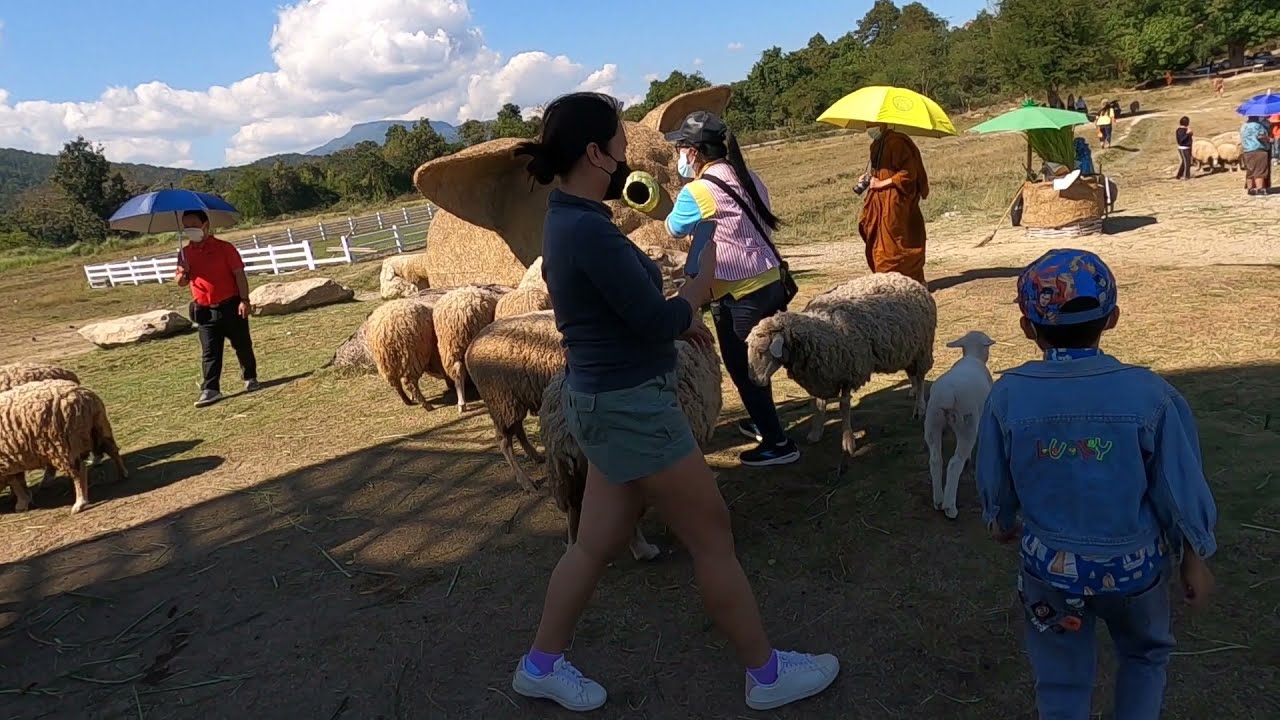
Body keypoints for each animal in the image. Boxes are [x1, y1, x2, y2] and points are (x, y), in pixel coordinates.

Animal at [1, 379, 127, 514]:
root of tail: (84, 396)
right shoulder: (12, 459)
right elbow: (18, 481)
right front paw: (24, 499)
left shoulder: (6, 462)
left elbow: (15, 483)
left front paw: (21, 503)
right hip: (100, 427)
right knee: (113, 450)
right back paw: (122, 474)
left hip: (64, 446)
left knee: (79, 472)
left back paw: (79, 503)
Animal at [464, 310, 565, 491]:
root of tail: (470, 347)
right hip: (501, 400)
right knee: (504, 441)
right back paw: (526, 482)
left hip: (515, 400)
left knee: (518, 428)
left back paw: (536, 456)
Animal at [745, 271, 937, 461]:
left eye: (762, 351)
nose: (754, 380)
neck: (822, 330)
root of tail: (906, 278)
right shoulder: (822, 375)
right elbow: (819, 405)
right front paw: (816, 433)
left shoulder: (848, 373)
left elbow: (844, 406)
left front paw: (848, 442)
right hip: (908, 348)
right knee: (912, 373)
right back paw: (913, 391)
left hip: (922, 347)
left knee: (920, 377)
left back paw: (919, 407)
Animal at [923, 330, 996, 520]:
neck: (972, 356)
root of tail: (948, 394)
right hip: (966, 423)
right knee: (955, 463)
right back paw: (950, 507)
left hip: (932, 421)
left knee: (935, 459)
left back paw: (938, 501)